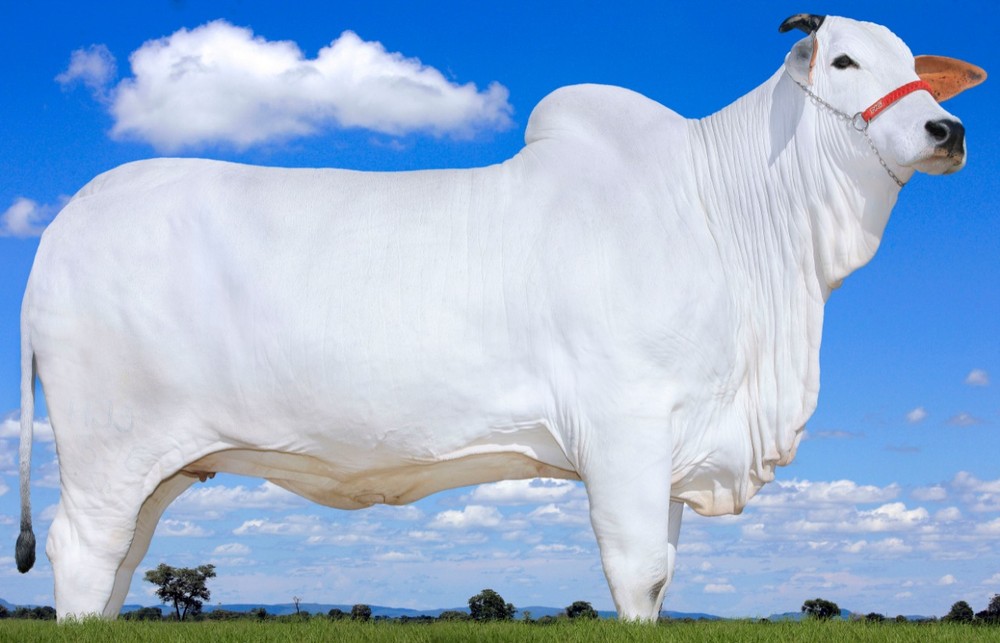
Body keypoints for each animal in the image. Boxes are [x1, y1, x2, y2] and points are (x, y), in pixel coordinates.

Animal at [15, 14, 985, 620]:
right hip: (103, 451)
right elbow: (638, 572)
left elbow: (664, 581)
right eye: (844, 62)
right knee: (81, 552)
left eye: (916, 67)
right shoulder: (625, 430)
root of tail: (65, 223)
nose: (947, 130)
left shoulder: (671, 451)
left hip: (157, 466)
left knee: (121, 562)